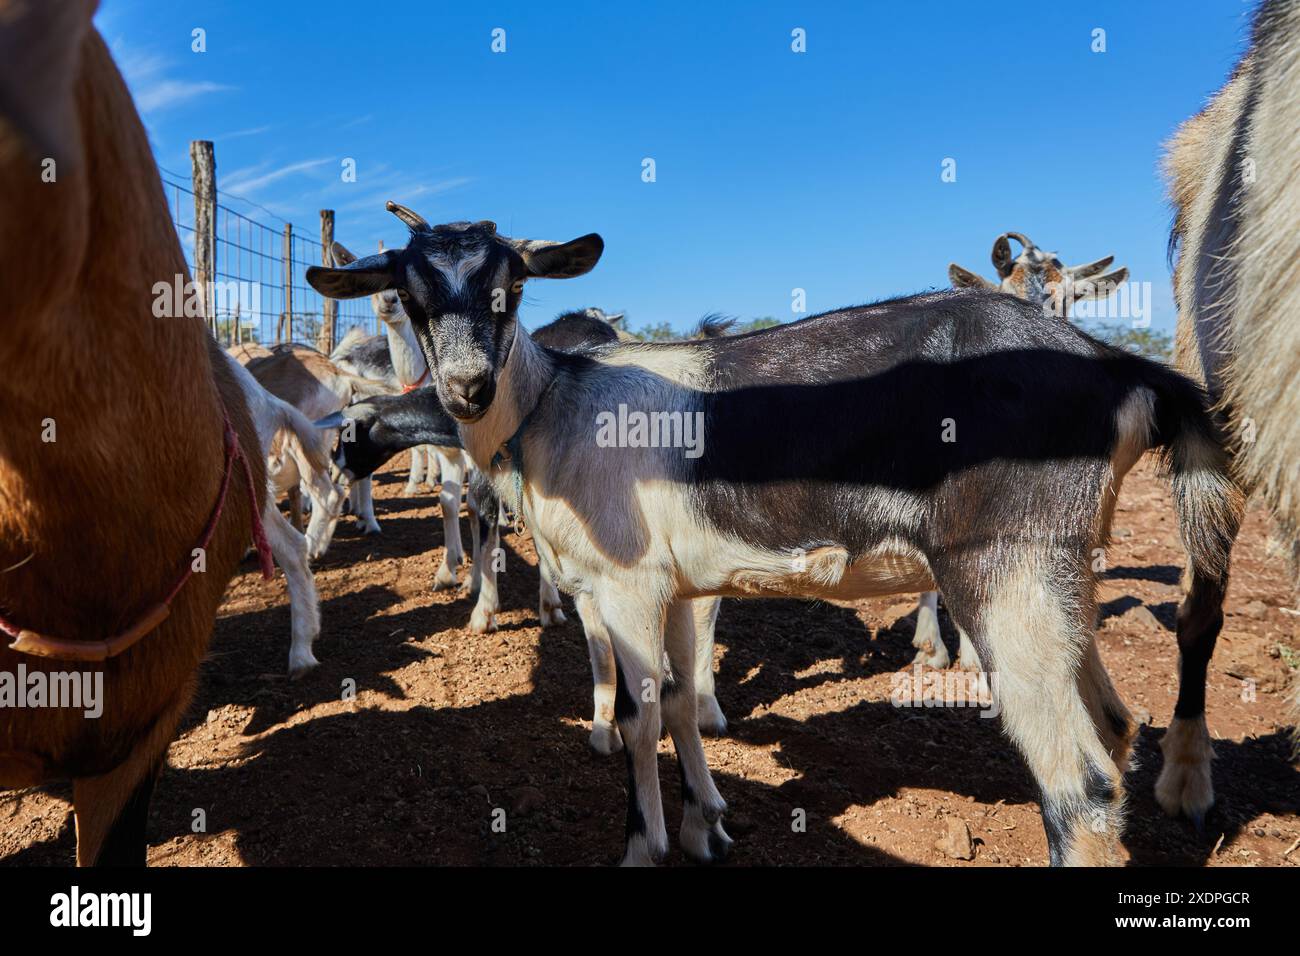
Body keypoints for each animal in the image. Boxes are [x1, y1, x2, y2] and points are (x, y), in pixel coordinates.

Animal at [308, 207, 1238, 866]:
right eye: (414, 297)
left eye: (511, 288)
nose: (466, 388)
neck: (554, 407)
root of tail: (1120, 368)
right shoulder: (674, 586)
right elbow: (683, 698)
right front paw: (704, 827)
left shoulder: (626, 586)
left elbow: (644, 714)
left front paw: (645, 845)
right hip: (1063, 572)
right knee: (1114, 725)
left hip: (1005, 572)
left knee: (1079, 786)